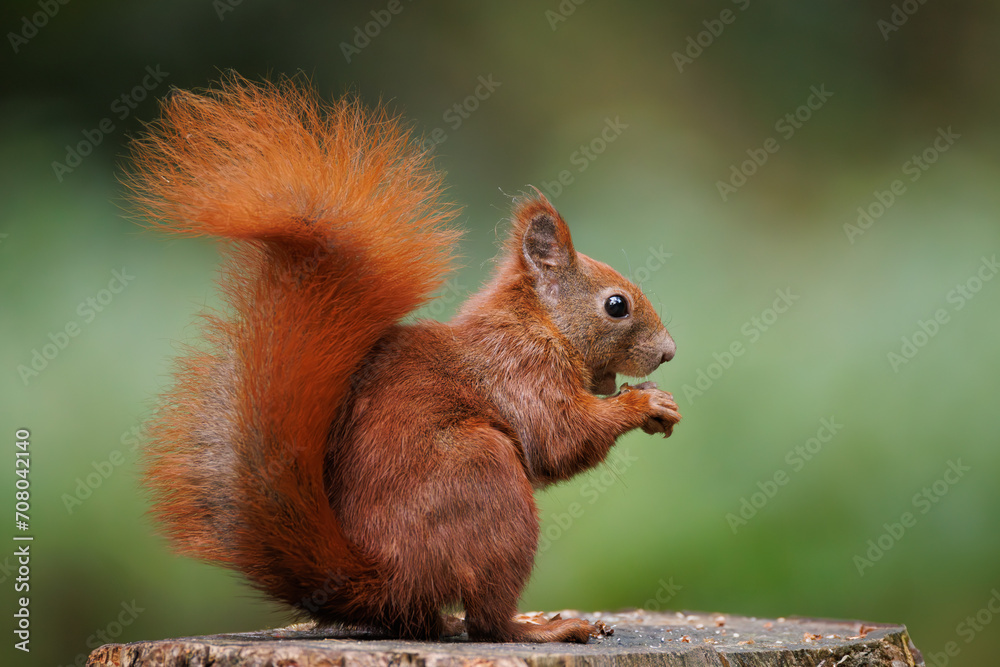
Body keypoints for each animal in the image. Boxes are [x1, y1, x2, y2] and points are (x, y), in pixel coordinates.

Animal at [127, 75, 681, 644]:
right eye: (616, 305)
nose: (668, 352)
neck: (536, 322)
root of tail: (382, 579)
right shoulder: (520, 369)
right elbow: (560, 437)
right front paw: (646, 405)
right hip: (487, 478)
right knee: (487, 622)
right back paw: (540, 628)